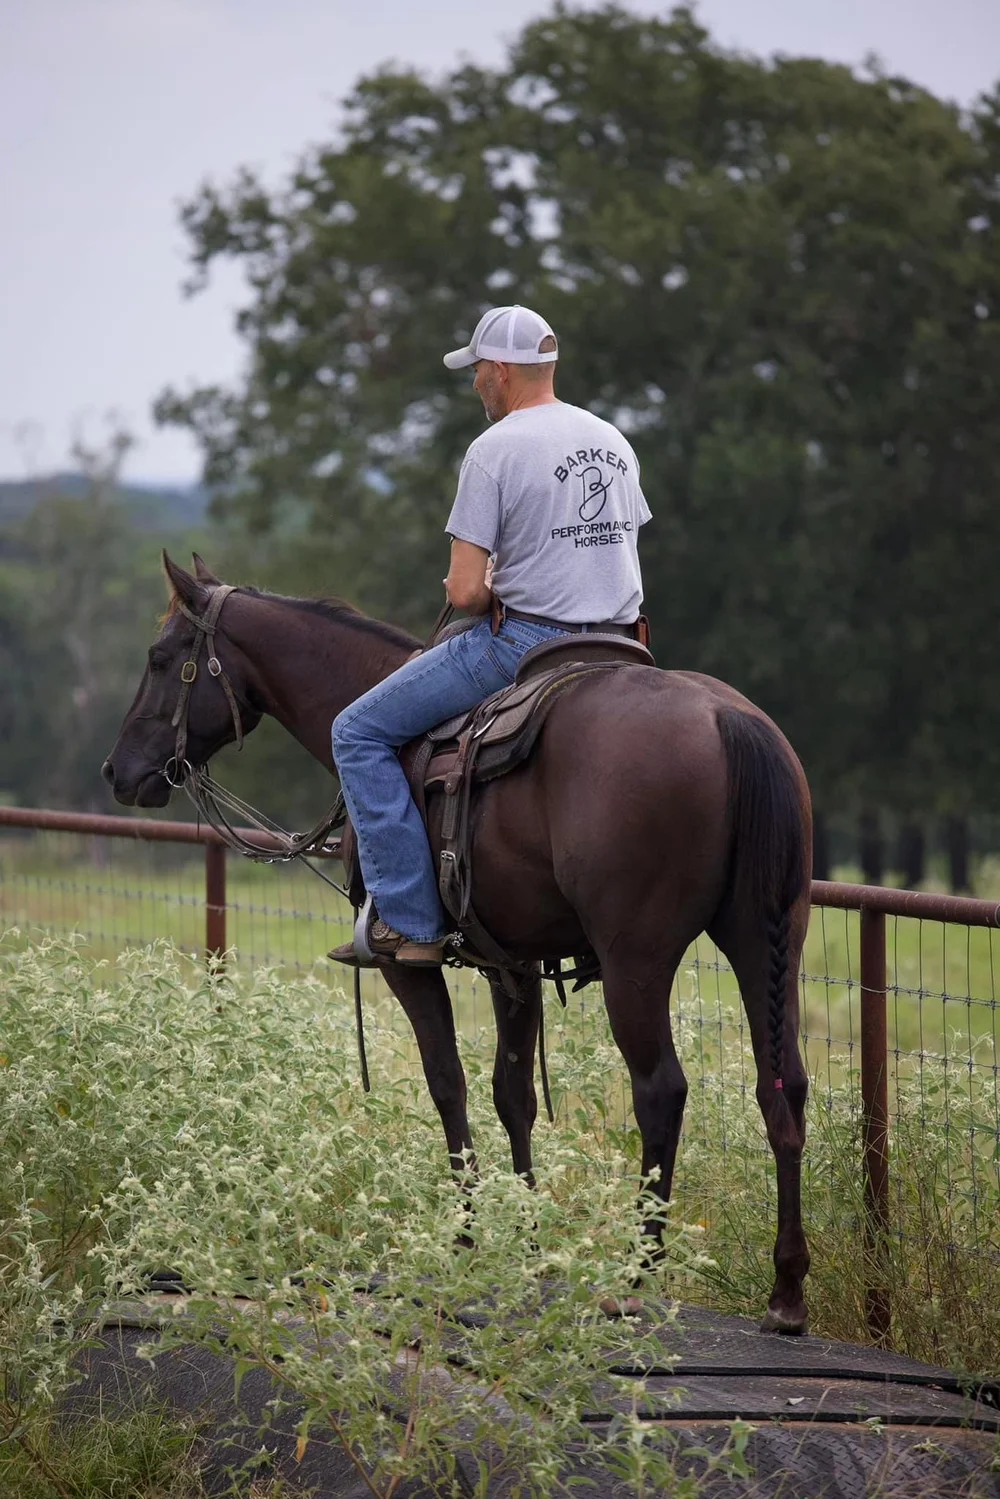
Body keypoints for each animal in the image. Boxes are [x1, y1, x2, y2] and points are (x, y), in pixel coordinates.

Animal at [102, 553, 813, 1334]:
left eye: (160, 657)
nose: (118, 772)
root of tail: (726, 720)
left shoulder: (407, 967)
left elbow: (448, 1082)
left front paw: (466, 1240)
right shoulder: (516, 963)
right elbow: (513, 1093)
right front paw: (528, 1244)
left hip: (638, 961)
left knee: (662, 1090)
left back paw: (638, 1276)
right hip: (767, 938)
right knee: (783, 1084)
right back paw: (786, 1290)